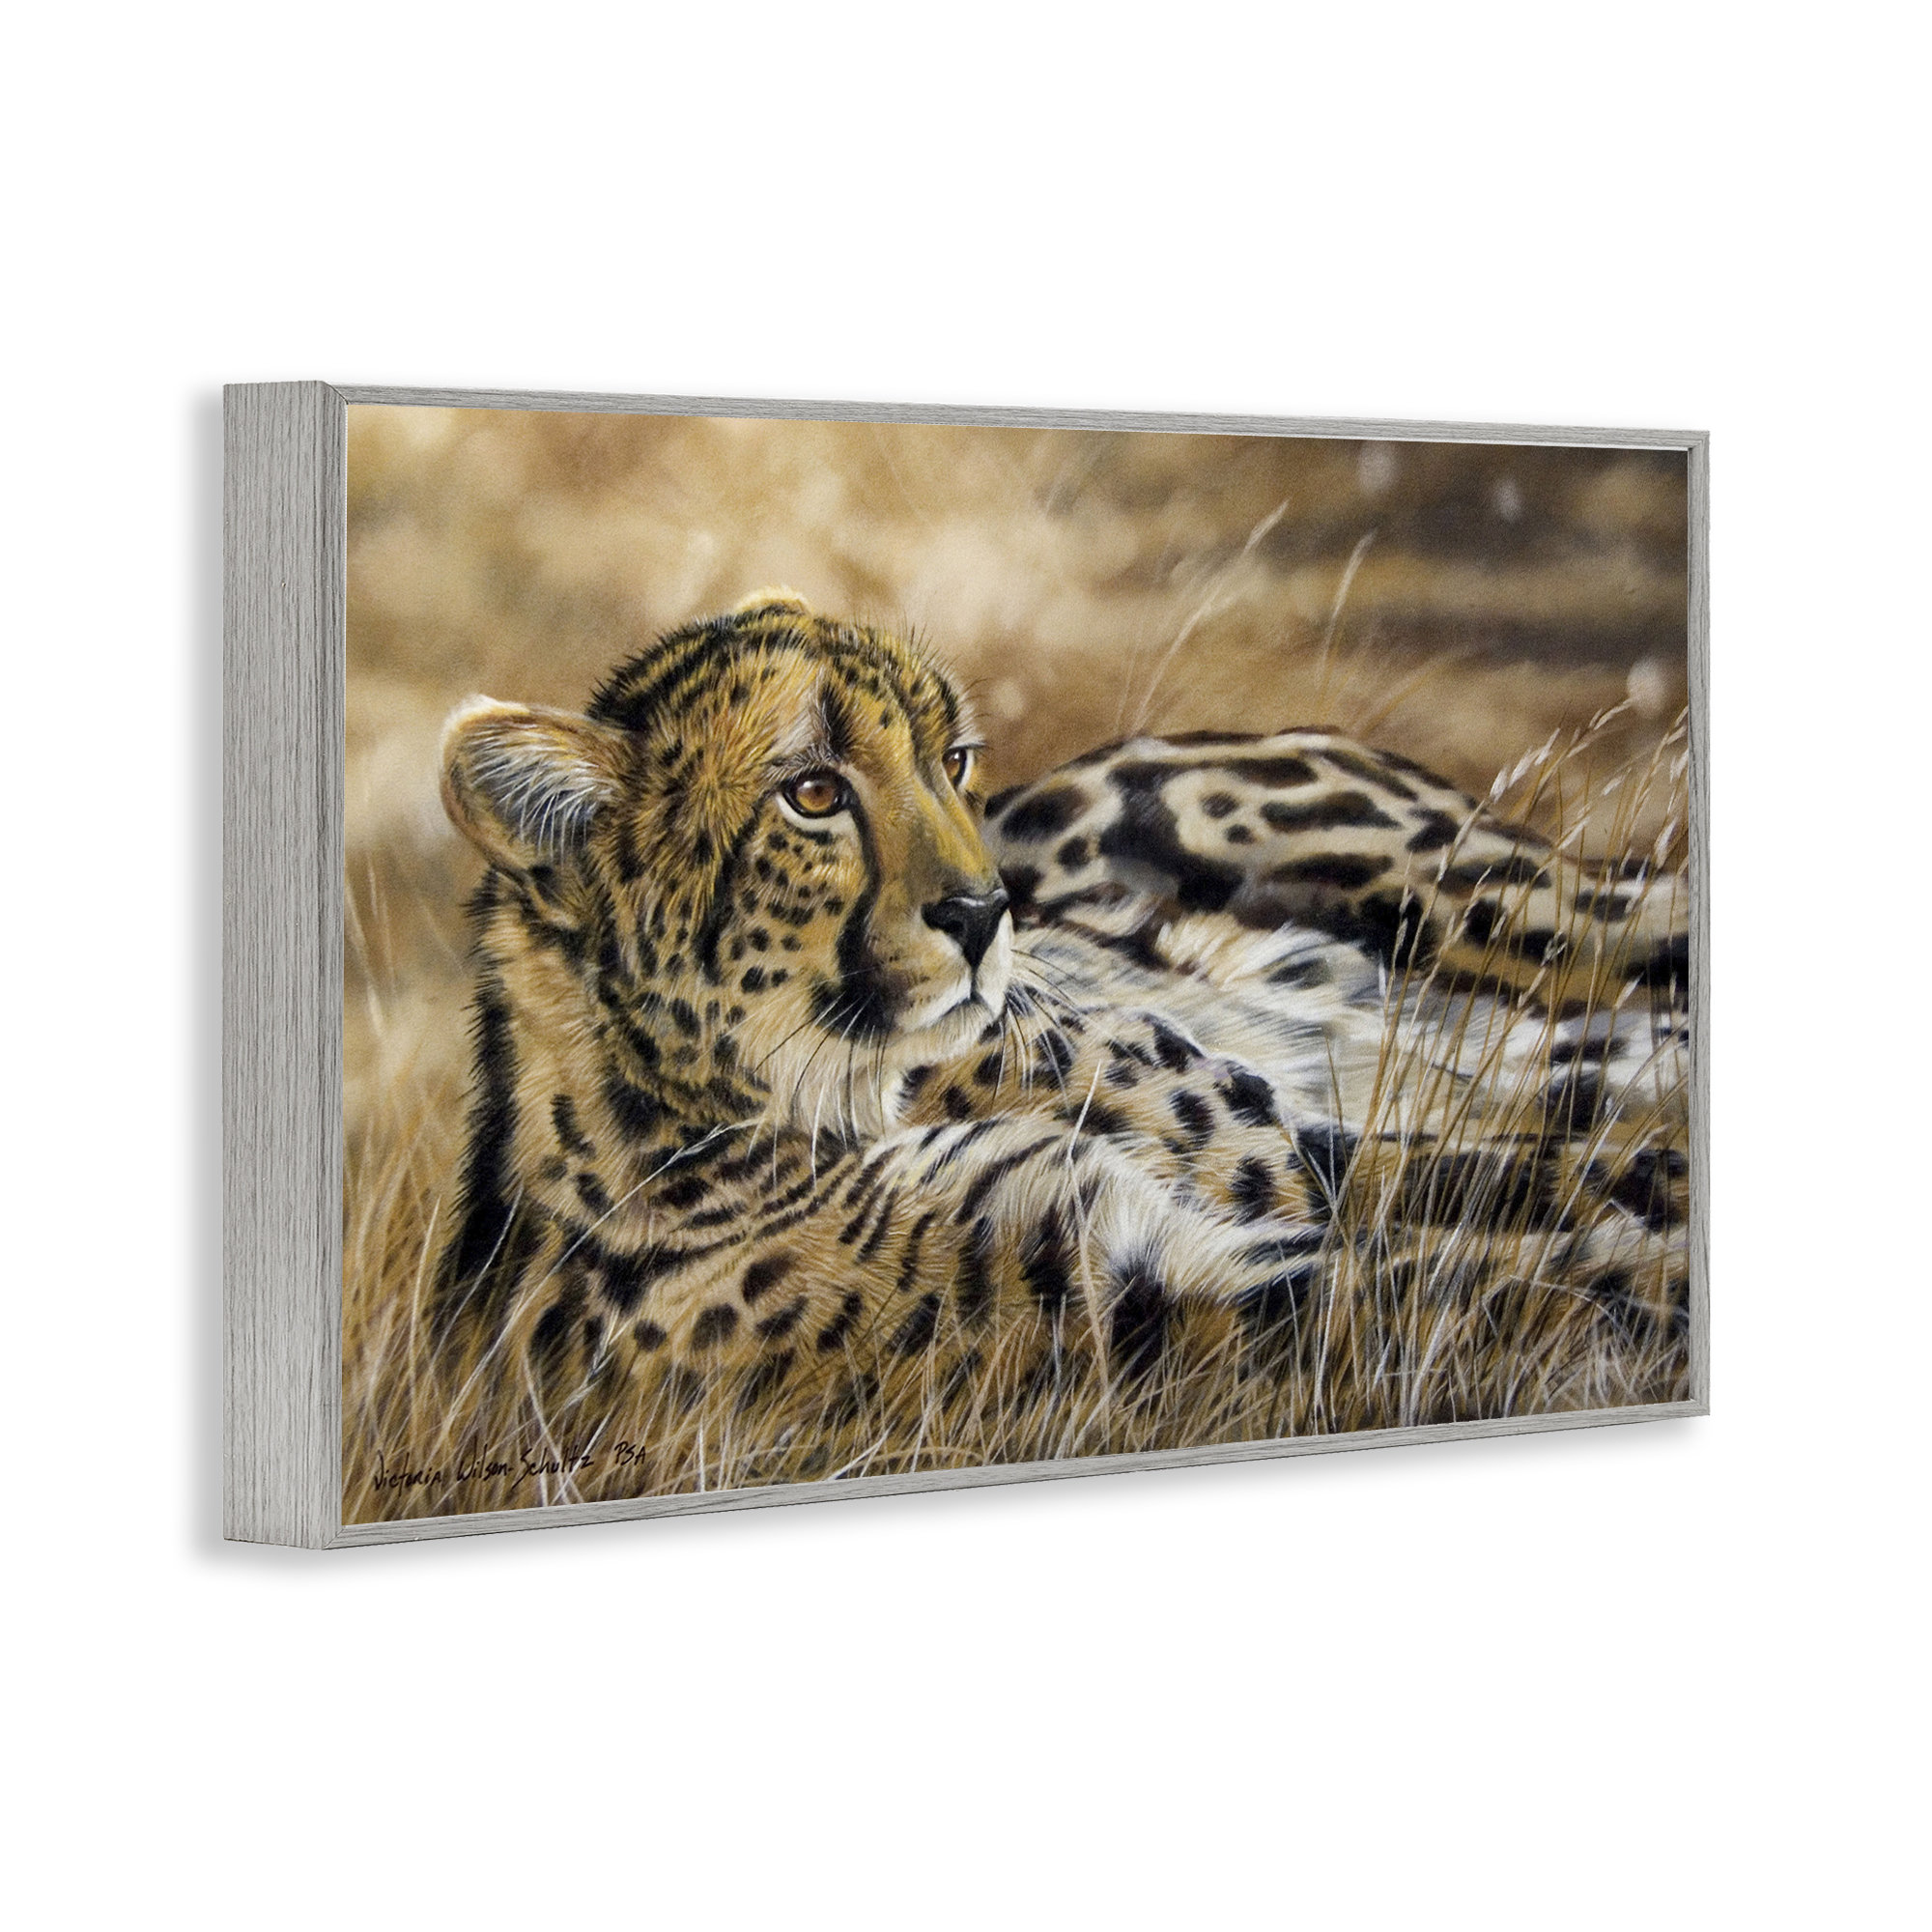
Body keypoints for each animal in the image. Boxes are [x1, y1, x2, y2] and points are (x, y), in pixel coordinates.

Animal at [427, 590, 1691, 1496]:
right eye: (812, 792)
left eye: (951, 760)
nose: (987, 910)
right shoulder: (1156, 1289)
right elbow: (1492, 1271)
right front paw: (1652, 1267)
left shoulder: (1275, 1161)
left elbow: (1535, 1187)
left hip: (1492, 902)